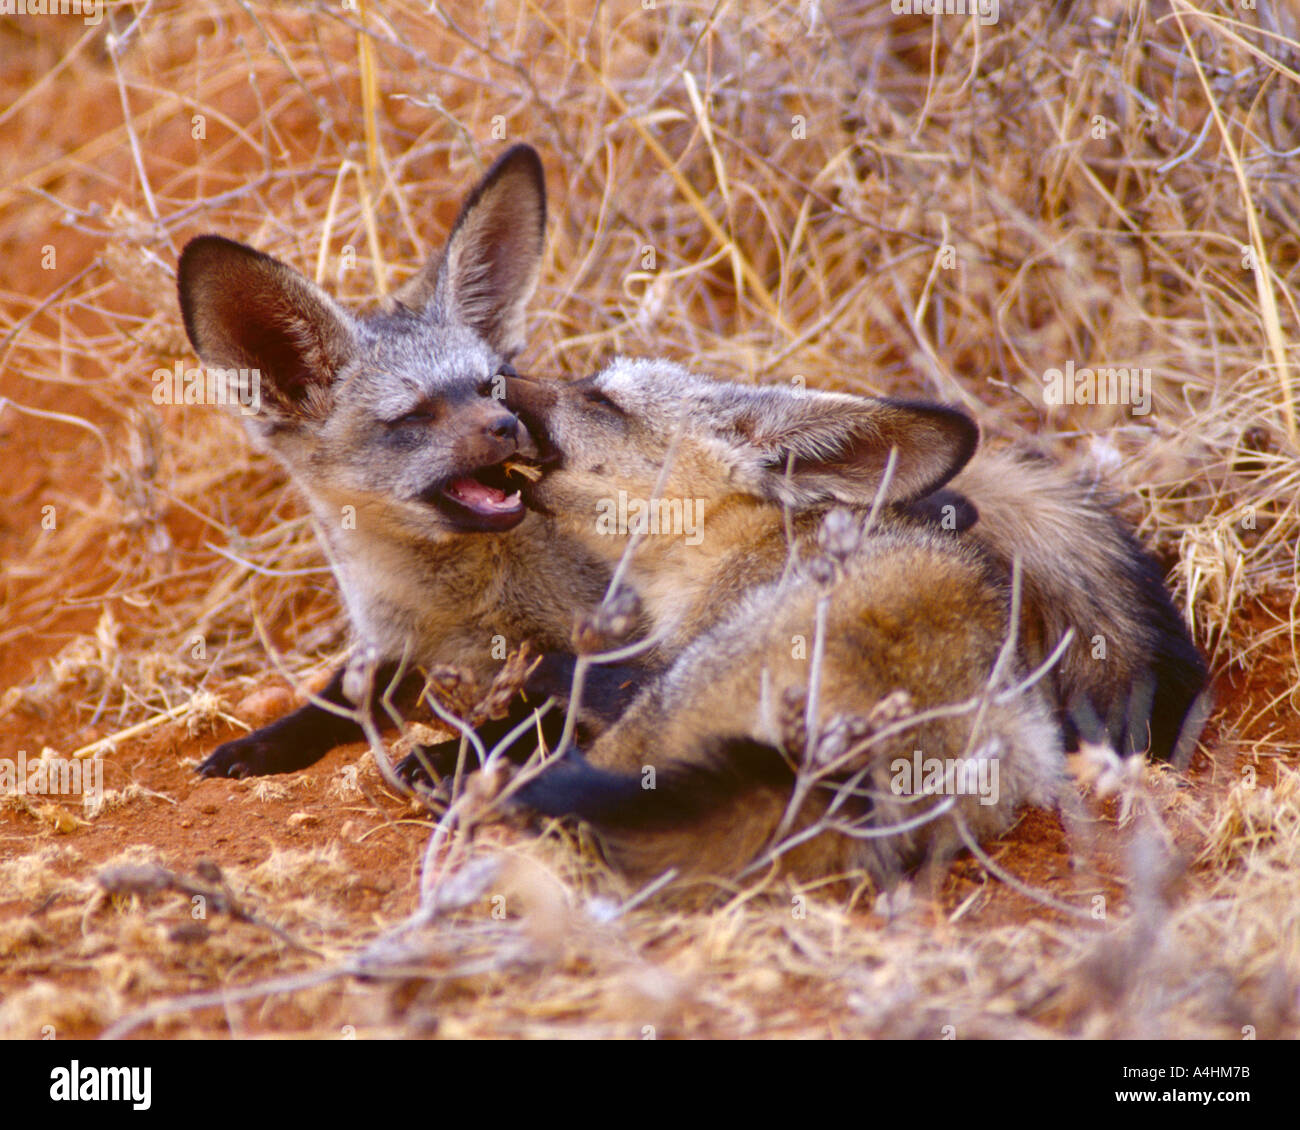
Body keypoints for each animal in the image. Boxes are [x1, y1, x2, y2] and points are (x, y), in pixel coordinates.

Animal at [175, 145, 626, 779]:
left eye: (493, 387)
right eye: (413, 417)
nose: (506, 427)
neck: (456, 608)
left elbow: (527, 720)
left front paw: (441, 757)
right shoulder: (388, 643)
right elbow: (329, 702)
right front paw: (259, 744)